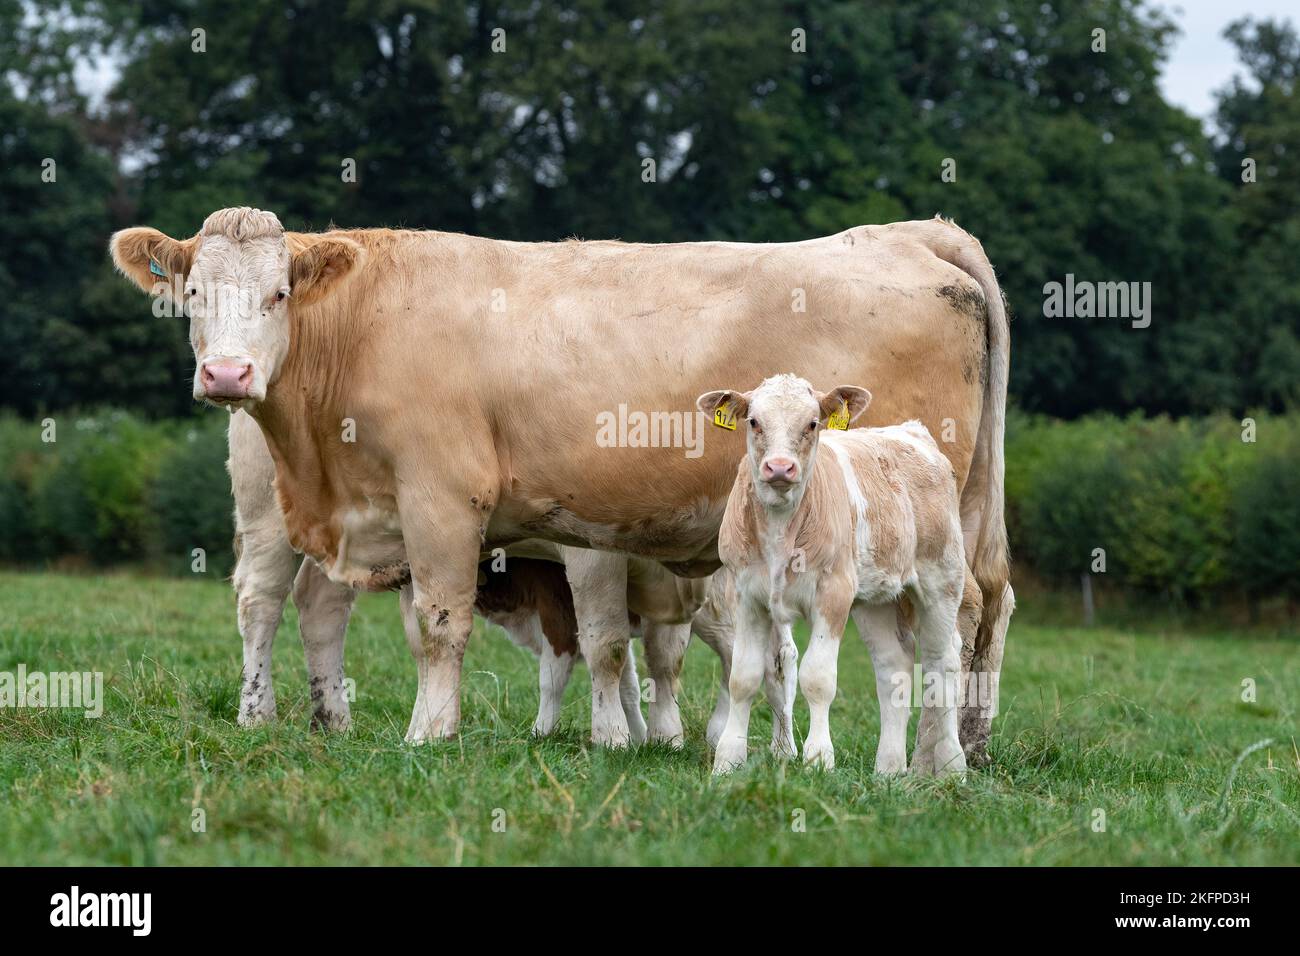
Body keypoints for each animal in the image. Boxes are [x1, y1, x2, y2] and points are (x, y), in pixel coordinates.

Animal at [699, 375, 973, 775]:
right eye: (753, 422)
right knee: (894, 664)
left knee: (945, 662)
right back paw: (888, 769)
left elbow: (818, 678)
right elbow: (743, 678)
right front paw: (728, 760)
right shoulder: (745, 595)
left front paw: (818, 759)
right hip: (875, 599)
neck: (781, 529)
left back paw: (952, 764)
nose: (779, 468)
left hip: (942, 577)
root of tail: (912, 431)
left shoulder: (833, 594)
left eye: (813, 423)